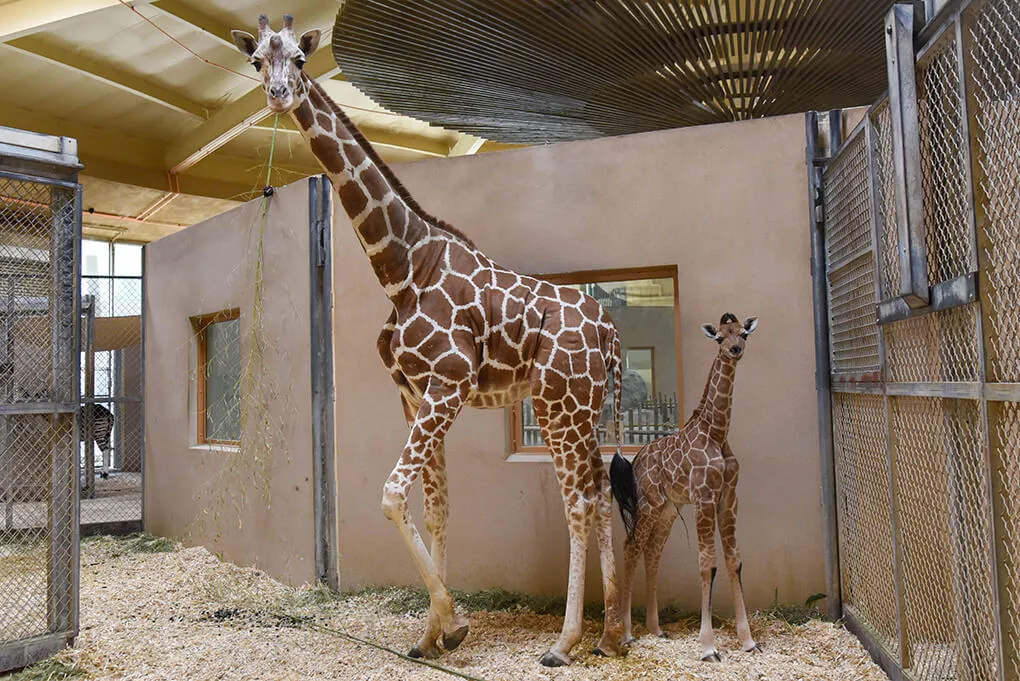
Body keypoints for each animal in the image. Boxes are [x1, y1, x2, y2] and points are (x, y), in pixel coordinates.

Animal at [230, 15, 625, 666]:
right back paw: (614, 631)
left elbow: (392, 495)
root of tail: (611, 331)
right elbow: (437, 508)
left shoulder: (450, 384)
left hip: (557, 404)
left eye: (302, 60)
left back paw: (565, 642)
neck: (401, 267)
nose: (280, 95)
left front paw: (453, 622)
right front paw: (428, 637)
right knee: (600, 488)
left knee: (578, 501)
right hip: (586, 407)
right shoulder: (414, 393)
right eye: (259, 60)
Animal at [609, 313, 760, 662]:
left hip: (668, 508)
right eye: (719, 337)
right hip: (649, 503)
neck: (716, 432)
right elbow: (707, 564)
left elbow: (735, 561)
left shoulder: (729, 497)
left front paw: (748, 641)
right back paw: (627, 633)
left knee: (652, 551)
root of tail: (635, 461)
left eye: (744, 333)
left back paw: (656, 629)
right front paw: (708, 647)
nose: (735, 349)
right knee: (631, 546)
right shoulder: (704, 497)